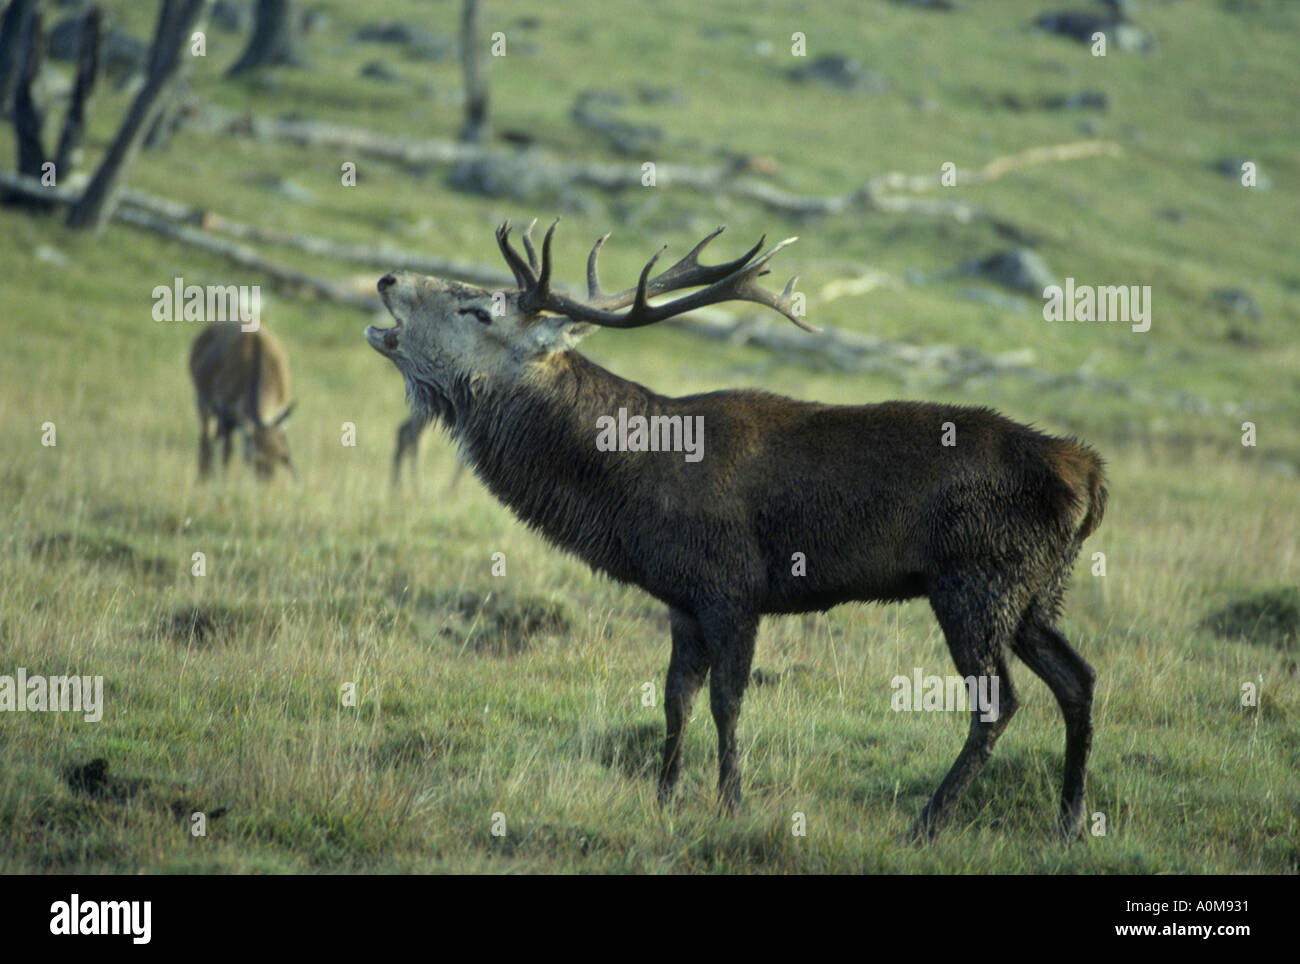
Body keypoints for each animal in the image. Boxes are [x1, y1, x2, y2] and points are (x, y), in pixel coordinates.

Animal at [190, 322, 296, 480]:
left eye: (280, 457)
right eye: (257, 457)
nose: (267, 482)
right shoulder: (224, 407)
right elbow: (228, 451)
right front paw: (224, 479)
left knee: (212, 437)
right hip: (202, 398)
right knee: (206, 438)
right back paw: (203, 476)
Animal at [364, 219, 1107, 839]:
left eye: (477, 309)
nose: (388, 278)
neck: (632, 483)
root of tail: (1092, 476)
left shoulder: (733, 587)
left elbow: (727, 700)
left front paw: (730, 803)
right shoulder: (682, 599)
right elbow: (676, 699)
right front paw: (663, 798)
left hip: (976, 581)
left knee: (999, 702)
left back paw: (927, 823)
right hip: (1036, 593)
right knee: (1078, 678)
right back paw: (1068, 821)